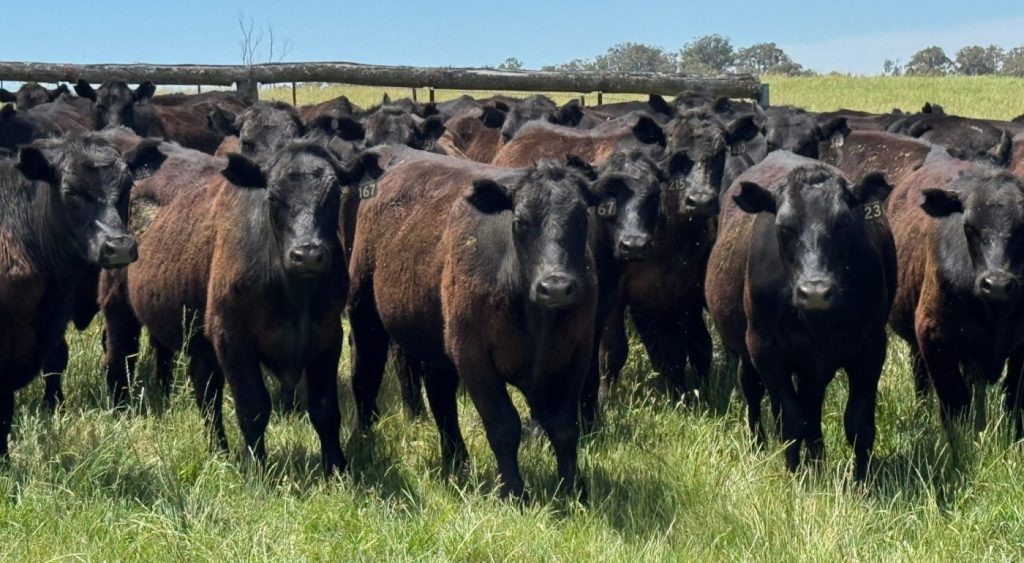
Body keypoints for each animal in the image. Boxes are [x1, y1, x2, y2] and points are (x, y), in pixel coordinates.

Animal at [348, 147, 600, 499]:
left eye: (581, 218)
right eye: (519, 221)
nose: (555, 286)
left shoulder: (577, 353)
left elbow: (564, 427)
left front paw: (574, 490)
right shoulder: (473, 354)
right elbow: (503, 424)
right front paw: (512, 492)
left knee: (440, 396)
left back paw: (456, 461)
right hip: (364, 310)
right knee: (365, 374)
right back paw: (362, 442)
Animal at [705, 151, 896, 480]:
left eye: (843, 223)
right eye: (784, 227)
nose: (815, 291)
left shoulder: (871, 347)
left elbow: (858, 422)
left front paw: (860, 478)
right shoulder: (765, 348)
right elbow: (791, 420)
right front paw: (794, 475)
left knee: (811, 404)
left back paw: (817, 458)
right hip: (748, 352)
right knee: (754, 391)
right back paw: (760, 446)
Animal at [887, 150, 1024, 437]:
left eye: (1023, 227)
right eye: (968, 226)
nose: (997, 284)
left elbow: (1015, 400)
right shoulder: (934, 336)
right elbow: (955, 402)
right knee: (921, 378)